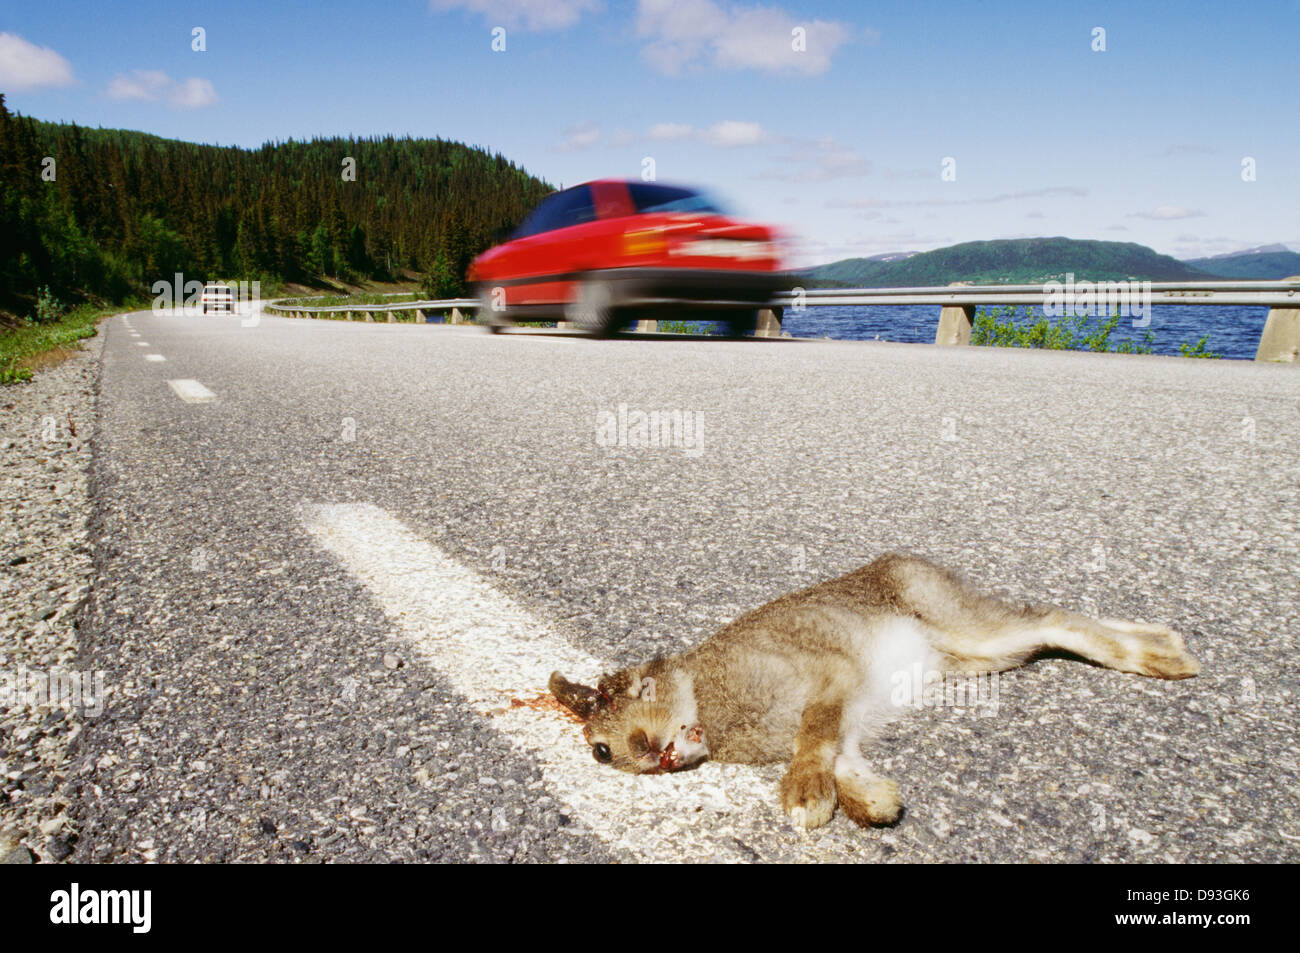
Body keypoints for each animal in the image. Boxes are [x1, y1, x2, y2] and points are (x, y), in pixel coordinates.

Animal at [550, 553, 1199, 830]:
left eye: (643, 684)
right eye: (601, 752)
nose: (645, 749)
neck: (704, 694)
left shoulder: (826, 681)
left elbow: (814, 740)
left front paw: (805, 803)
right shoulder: (849, 720)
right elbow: (844, 761)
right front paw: (879, 803)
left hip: (964, 629)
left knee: (1054, 619)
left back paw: (1170, 659)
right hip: (974, 657)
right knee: (1046, 629)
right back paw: (1163, 639)